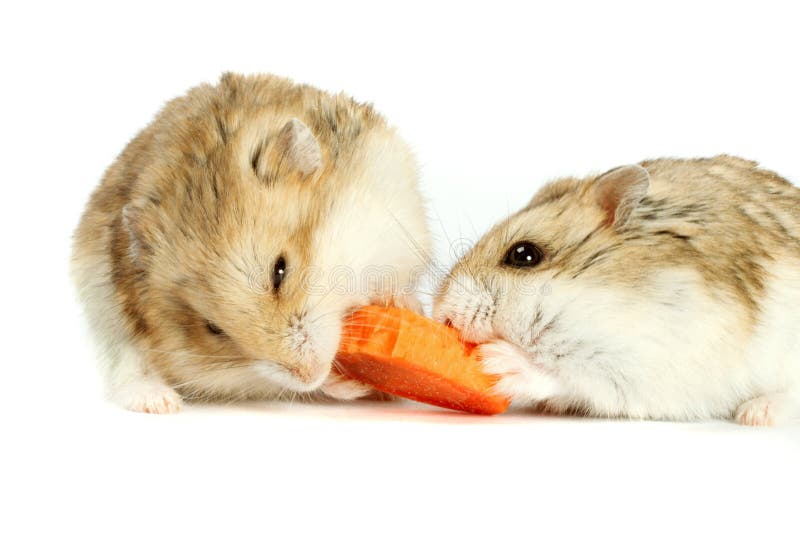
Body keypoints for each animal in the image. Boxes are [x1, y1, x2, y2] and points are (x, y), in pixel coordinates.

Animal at [72, 73, 431, 413]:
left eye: (279, 271)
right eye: (213, 328)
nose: (308, 373)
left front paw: (402, 304)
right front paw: (344, 383)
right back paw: (160, 403)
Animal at [434, 155, 800, 425]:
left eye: (524, 255)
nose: (440, 314)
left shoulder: (650, 357)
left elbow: (571, 374)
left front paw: (497, 361)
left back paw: (756, 414)